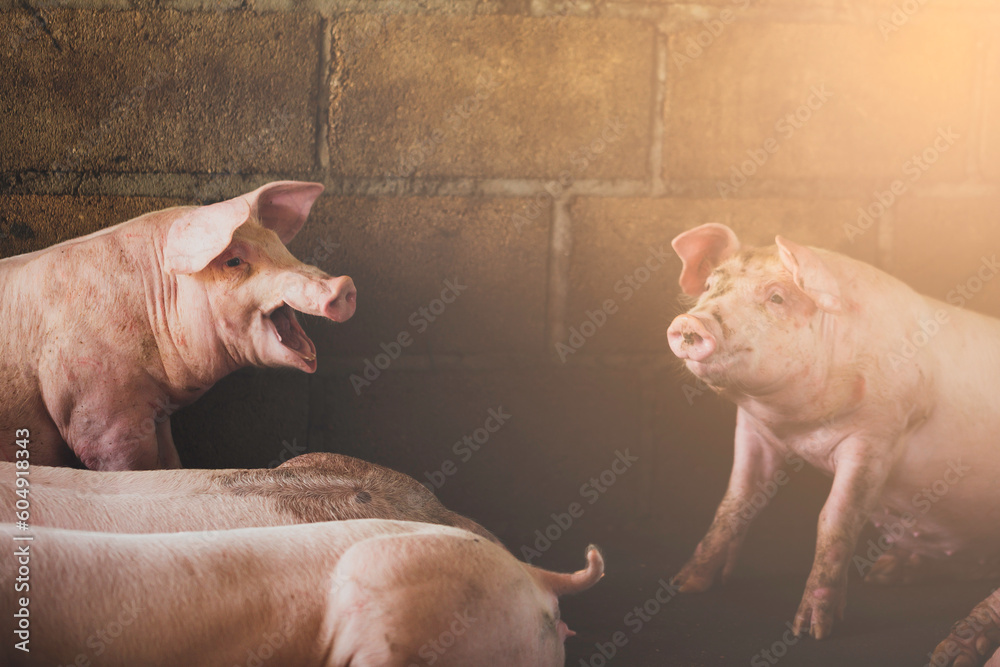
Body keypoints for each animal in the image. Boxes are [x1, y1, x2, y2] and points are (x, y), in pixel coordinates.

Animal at [0, 181, 356, 470]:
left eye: (279, 246)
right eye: (233, 261)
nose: (344, 284)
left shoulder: (154, 415)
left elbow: (170, 461)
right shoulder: (100, 413)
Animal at [666, 223, 1000, 642]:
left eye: (777, 297)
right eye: (710, 284)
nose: (690, 322)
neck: (800, 429)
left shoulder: (877, 436)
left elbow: (835, 518)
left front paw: (810, 631)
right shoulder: (754, 430)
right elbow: (734, 503)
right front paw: (684, 585)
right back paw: (885, 573)